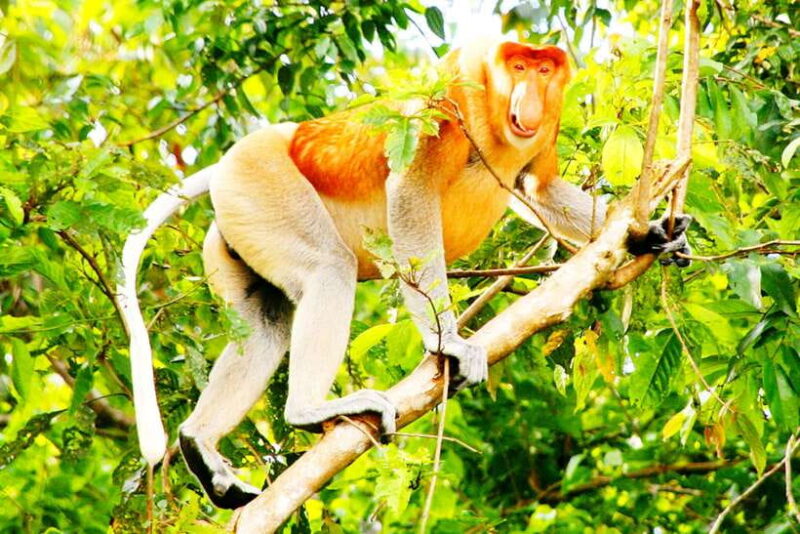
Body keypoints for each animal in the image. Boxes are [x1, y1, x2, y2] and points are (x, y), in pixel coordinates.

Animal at [117, 38, 690, 509]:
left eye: (546, 70)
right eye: (520, 66)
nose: (530, 92)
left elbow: (540, 188)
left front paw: (651, 236)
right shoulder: (450, 100)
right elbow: (412, 195)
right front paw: (449, 342)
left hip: (237, 227)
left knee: (265, 323)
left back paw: (199, 445)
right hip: (261, 182)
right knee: (329, 270)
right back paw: (308, 410)